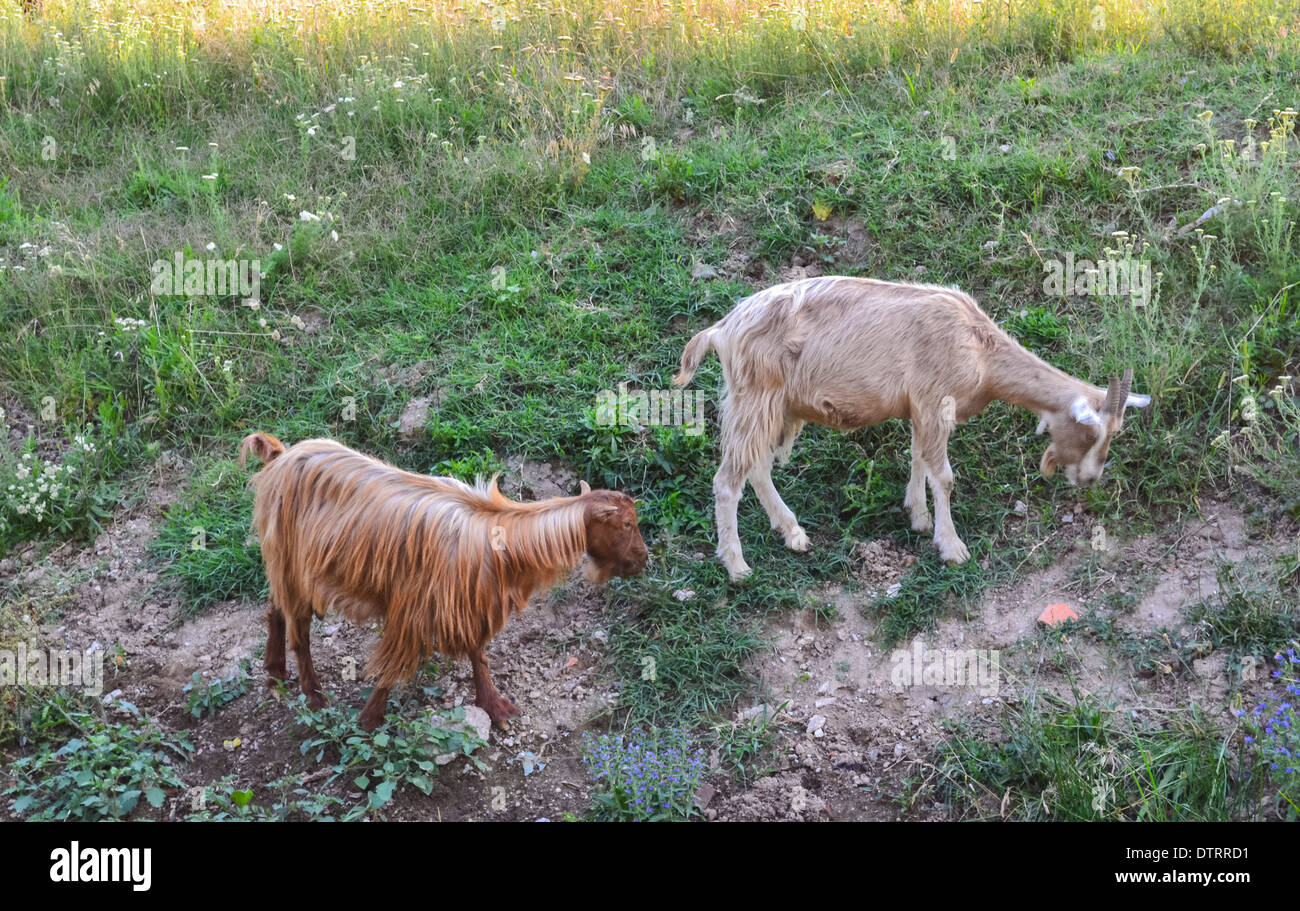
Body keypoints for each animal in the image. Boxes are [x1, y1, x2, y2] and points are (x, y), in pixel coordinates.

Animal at [239, 433, 648, 731]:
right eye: (627, 524)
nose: (644, 558)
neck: (500, 539)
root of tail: (281, 455)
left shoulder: (468, 603)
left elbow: (478, 653)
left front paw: (495, 707)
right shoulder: (414, 609)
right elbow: (391, 667)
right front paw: (369, 720)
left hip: (285, 563)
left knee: (275, 608)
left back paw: (275, 672)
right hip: (293, 561)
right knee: (299, 630)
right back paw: (314, 697)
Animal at [674, 276, 1151, 582]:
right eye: (1092, 433)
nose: (1089, 479)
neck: (978, 347)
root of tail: (721, 330)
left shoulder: (921, 409)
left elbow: (919, 457)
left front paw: (918, 517)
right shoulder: (933, 401)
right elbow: (944, 475)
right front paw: (952, 547)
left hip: (776, 408)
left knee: (756, 468)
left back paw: (793, 534)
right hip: (756, 399)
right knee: (727, 480)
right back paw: (737, 567)